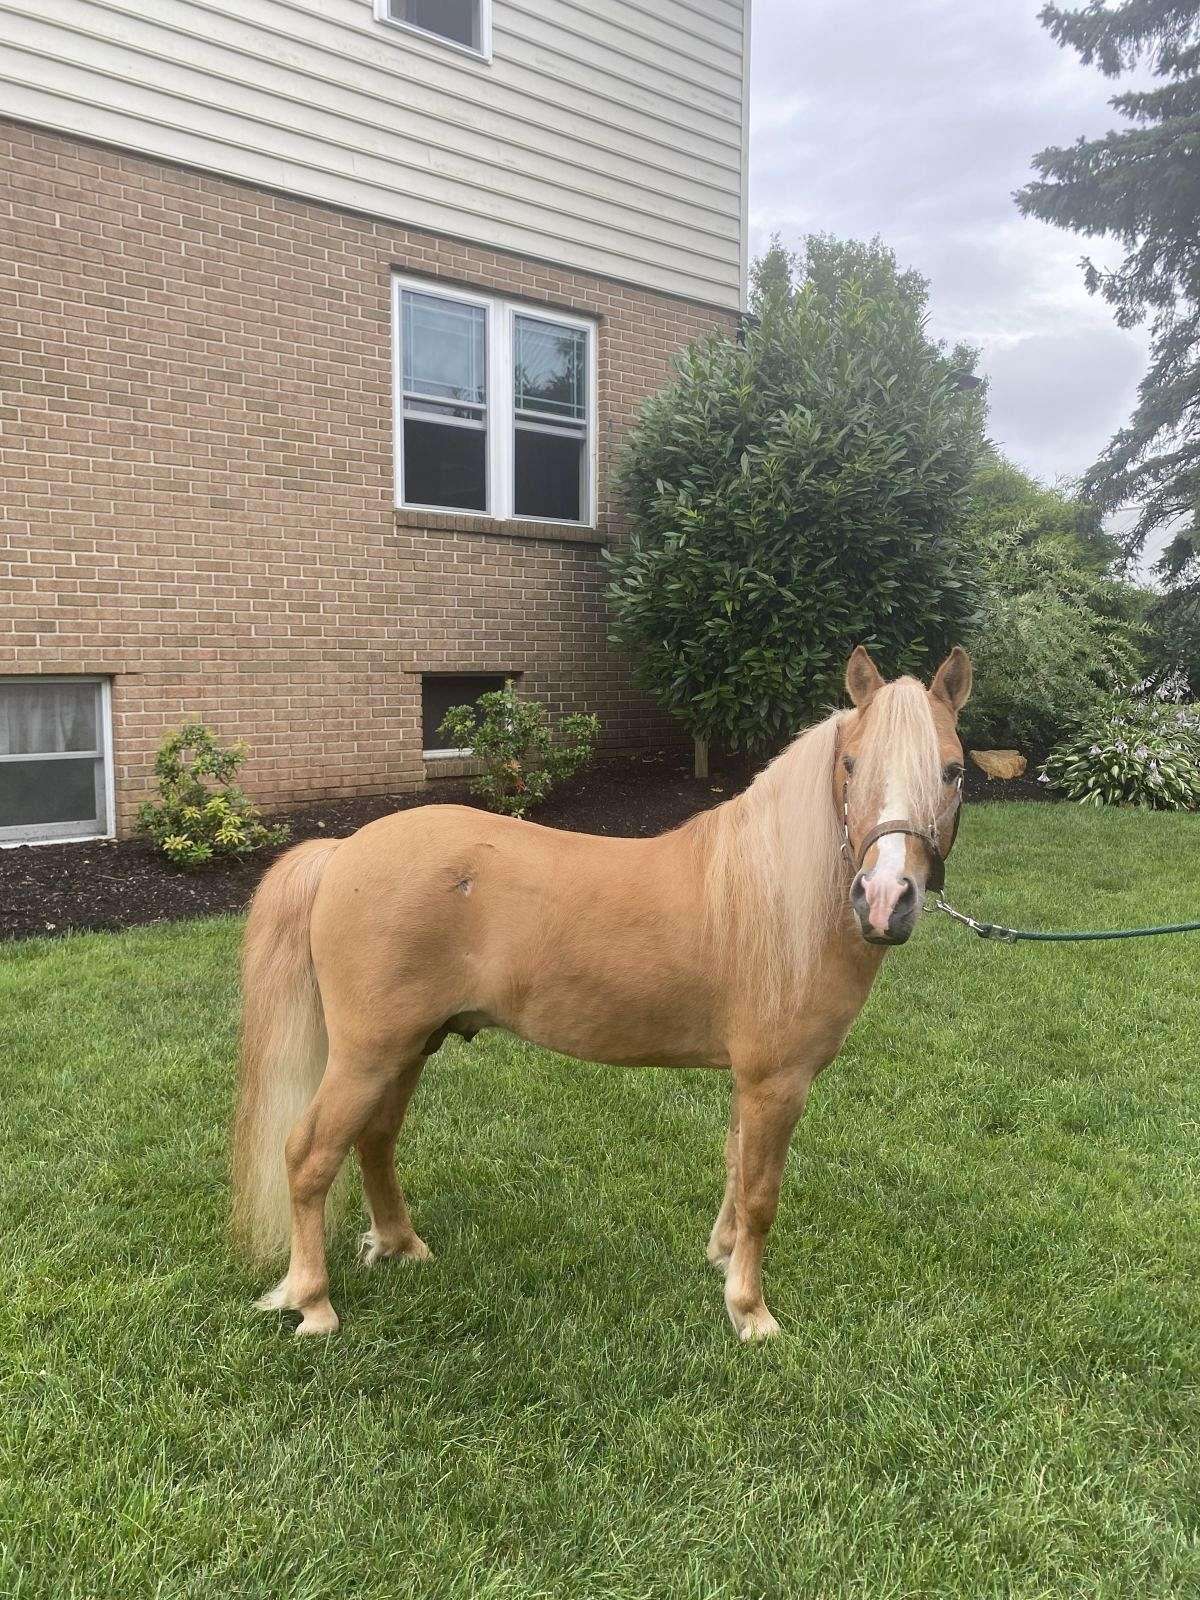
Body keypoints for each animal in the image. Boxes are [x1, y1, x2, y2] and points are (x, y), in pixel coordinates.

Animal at [233, 644, 973, 1341]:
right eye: (850, 764)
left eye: (953, 770)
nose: (885, 900)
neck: (773, 896)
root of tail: (342, 852)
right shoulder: (778, 1080)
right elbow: (761, 1194)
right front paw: (751, 1313)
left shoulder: (750, 1080)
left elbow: (736, 1170)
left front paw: (722, 1258)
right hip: (367, 1054)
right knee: (309, 1156)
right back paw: (313, 1302)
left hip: (410, 1046)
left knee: (376, 1140)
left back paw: (402, 1246)